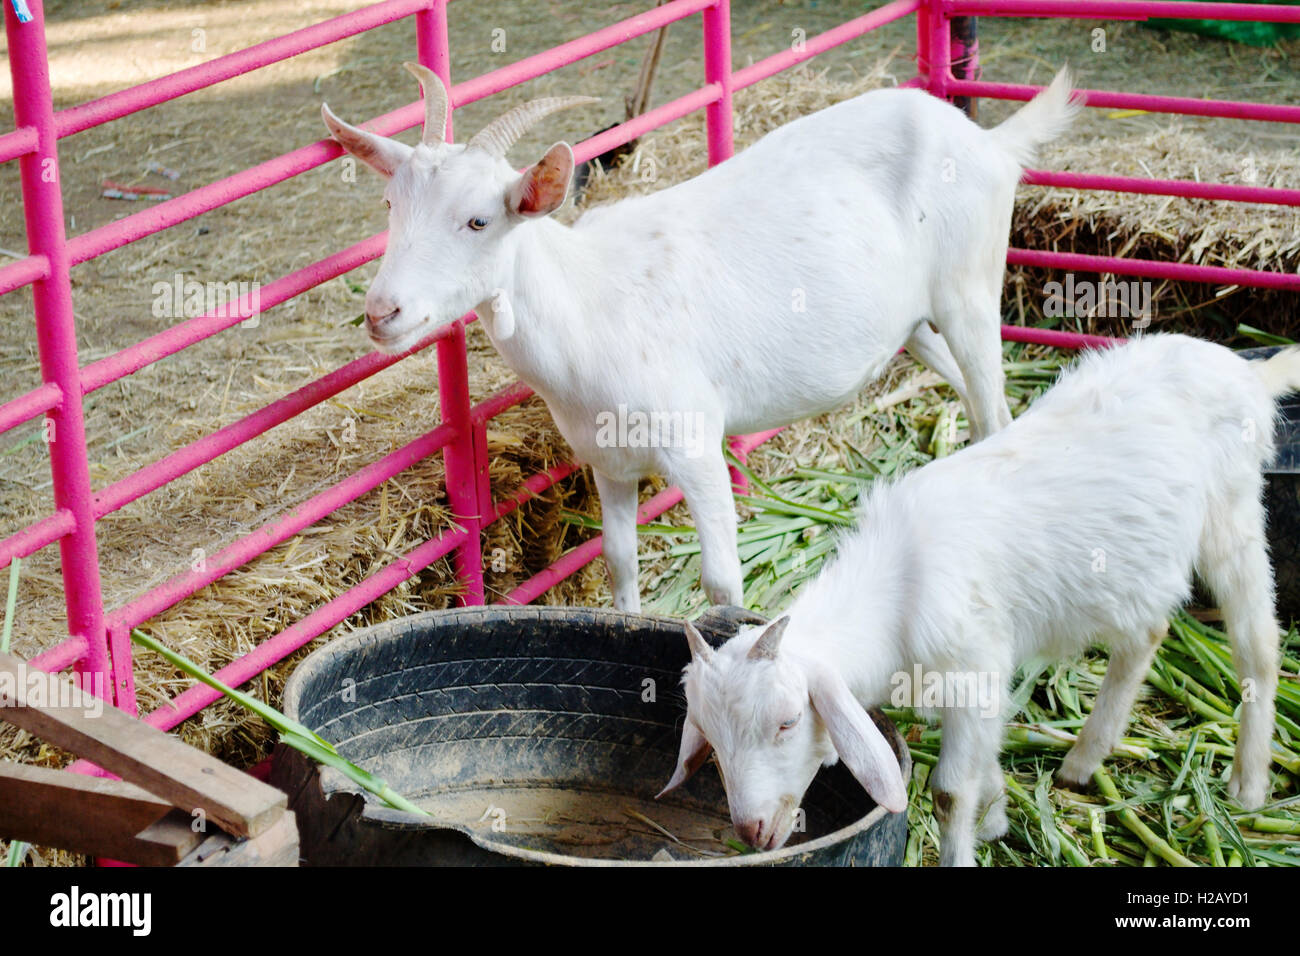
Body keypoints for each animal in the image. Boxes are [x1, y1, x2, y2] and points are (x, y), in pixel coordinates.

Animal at [322, 63, 1079, 612]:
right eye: (390, 203)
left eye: (479, 221)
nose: (383, 312)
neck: (586, 302)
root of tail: (987, 141)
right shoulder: (608, 459)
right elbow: (619, 561)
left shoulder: (694, 445)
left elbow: (722, 580)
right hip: (917, 323)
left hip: (969, 288)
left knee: (995, 406)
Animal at [660, 334, 1294, 865]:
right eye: (708, 737)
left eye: (789, 722)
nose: (751, 831)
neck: (900, 580)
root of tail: (1246, 371)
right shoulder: (970, 681)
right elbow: (984, 757)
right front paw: (995, 817)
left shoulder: (974, 663)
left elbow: (947, 791)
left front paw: (971, 836)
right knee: (1147, 635)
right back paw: (1085, 760)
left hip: (1233, 514)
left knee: (1258, 644)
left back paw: (1249, 783)